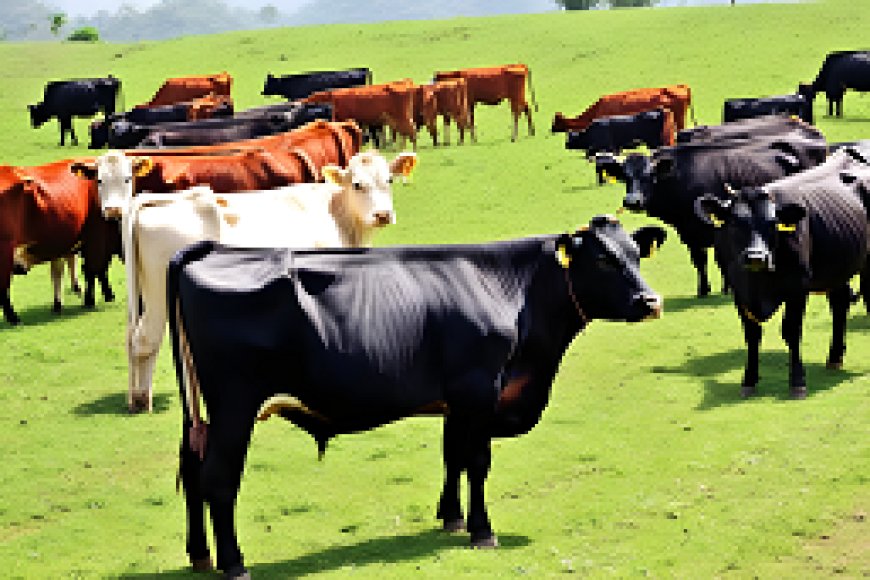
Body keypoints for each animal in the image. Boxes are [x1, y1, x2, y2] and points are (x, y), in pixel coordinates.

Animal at [71, 148, 416, 412]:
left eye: (388, 180)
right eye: (357, 185)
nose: (383, 215)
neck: (333, 213)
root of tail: (155, 200)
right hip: (157, 298)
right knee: (145, 340)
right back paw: (142, 400)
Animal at [166, 215, 666, 576]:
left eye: (636, 254)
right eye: (601, 260)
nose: (650, 302)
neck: (510, 288)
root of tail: (210, 250)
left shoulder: (457, 400)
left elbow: (453, 455)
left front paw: (451, 517)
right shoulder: (479, 389)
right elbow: (477, 462)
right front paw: (482, 531)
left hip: (201, 413)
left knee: (191, 469)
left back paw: (200, 555)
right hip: (235, 405)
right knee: (217, 479)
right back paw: (234, 564)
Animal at [595, 117, 828, 297]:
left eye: (649, 176)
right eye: (626, 177)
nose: (632, 201)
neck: (681, 178)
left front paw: (724, 288)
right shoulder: (691, 233)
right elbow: (700, 261)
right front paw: (705, 289)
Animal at [695, 148, 870, 399]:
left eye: (772, 223)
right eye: (735, 222)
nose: (756, 257)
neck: (758, 285)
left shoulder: (797, 288)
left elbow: (791, 331)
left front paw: (797, 381)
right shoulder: (738, 291)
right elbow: (752, 334)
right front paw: (748, 380)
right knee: (839, 303)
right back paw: (834, 357)